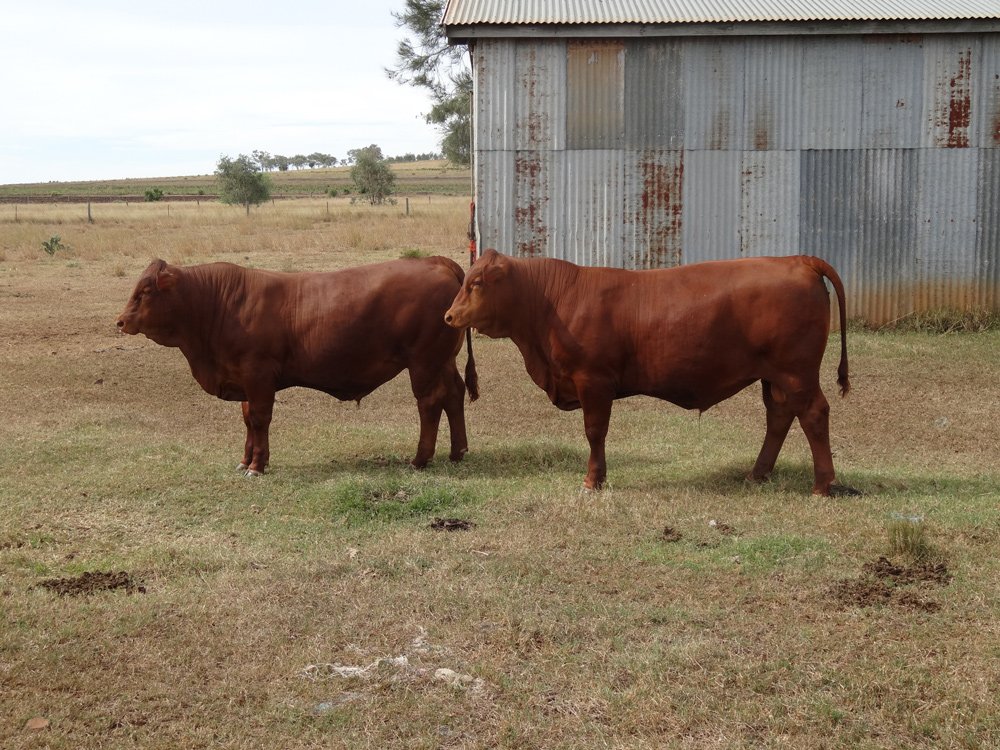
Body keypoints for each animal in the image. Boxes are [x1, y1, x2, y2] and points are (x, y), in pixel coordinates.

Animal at [116, 256, 479, 475]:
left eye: (145, 291)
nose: (121, 321)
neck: (220, 303)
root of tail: (434, 262)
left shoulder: (258, 375)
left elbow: (260, 419)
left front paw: (257, 465)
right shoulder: (245, 379)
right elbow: (248, 420)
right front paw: (245, 460)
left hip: (423, 362)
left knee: (430, 404)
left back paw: (420, 458)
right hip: (443, 361)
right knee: (454, 395)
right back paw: (458, 450)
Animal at [444, 249, 856, 496]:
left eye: (476, 283)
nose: (449, 316)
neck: (551, 302)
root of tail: (797, 259)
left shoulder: (593, 381)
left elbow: (595, 431)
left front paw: (593, 480)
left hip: (797, 373)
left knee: (813, 415)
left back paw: (823, 484)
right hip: (776, 377)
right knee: (780, 417)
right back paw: (758, 473)